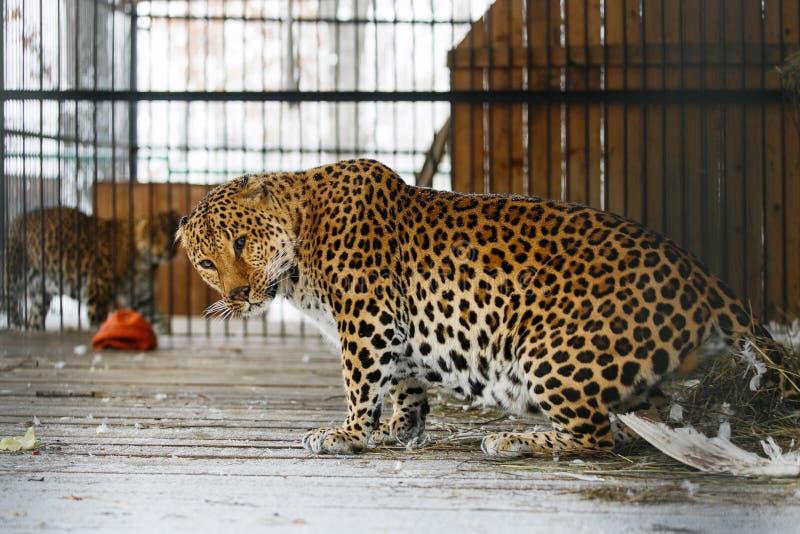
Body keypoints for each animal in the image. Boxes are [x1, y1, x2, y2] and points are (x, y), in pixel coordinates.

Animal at [6, 206, 179, 332]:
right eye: (153, 234)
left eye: (171, 231)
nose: (168, 248)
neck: (145, 264)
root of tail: (14, 221)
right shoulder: (98, 291)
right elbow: (97, 320)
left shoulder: (141, 298)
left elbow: (157, 317)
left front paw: (165, 332)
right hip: (13, 273)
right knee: (7, 301)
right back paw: (17, 324)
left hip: (40, 293)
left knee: (34, 315)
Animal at [177, 158, 795, 457]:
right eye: (206, 262)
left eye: (241, 244)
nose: (236, 295)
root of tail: (701, 274)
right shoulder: (395, 329)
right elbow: (404, 383)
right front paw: (398, 430)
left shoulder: (367, 318)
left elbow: (361, 382)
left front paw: (346, 434)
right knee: (634, 422)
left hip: (553, 349)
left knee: (596, 435)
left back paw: (512, 441)